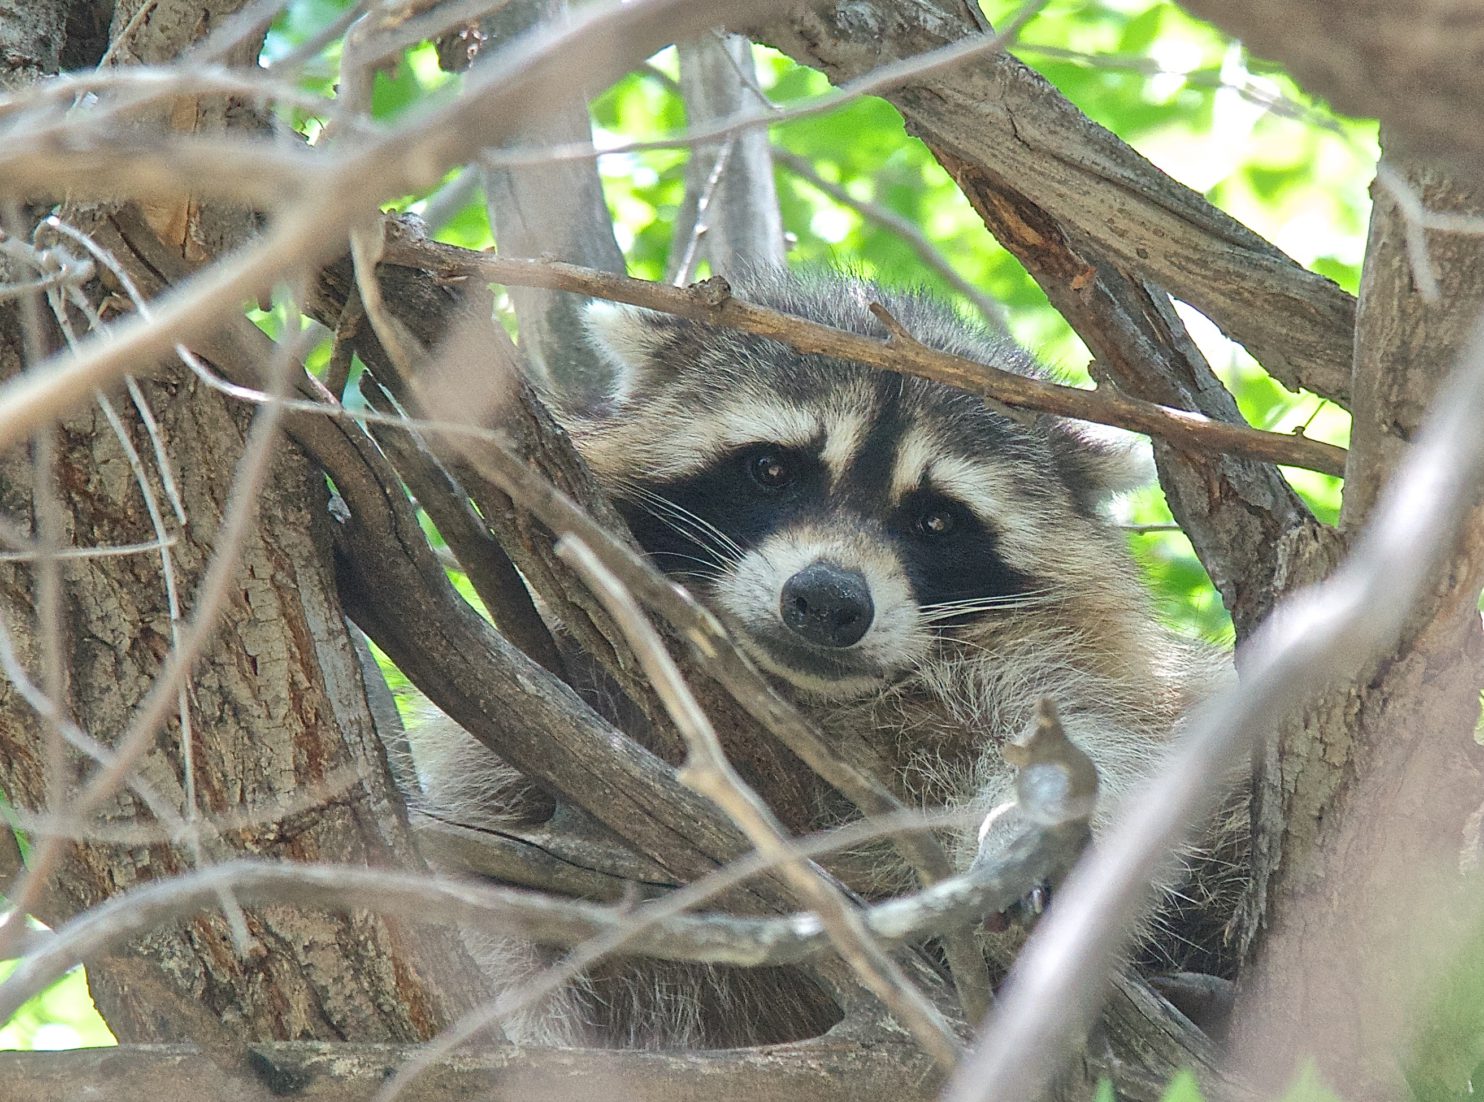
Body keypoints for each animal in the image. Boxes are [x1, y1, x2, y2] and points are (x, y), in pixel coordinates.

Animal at [404, 269, 1229, 1047]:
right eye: (772, 469)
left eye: (936, 520)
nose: (829, 602)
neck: (808, 696)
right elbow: (492, 863)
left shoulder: (1060, 659)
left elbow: (1103, 741)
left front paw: (1029, 831)